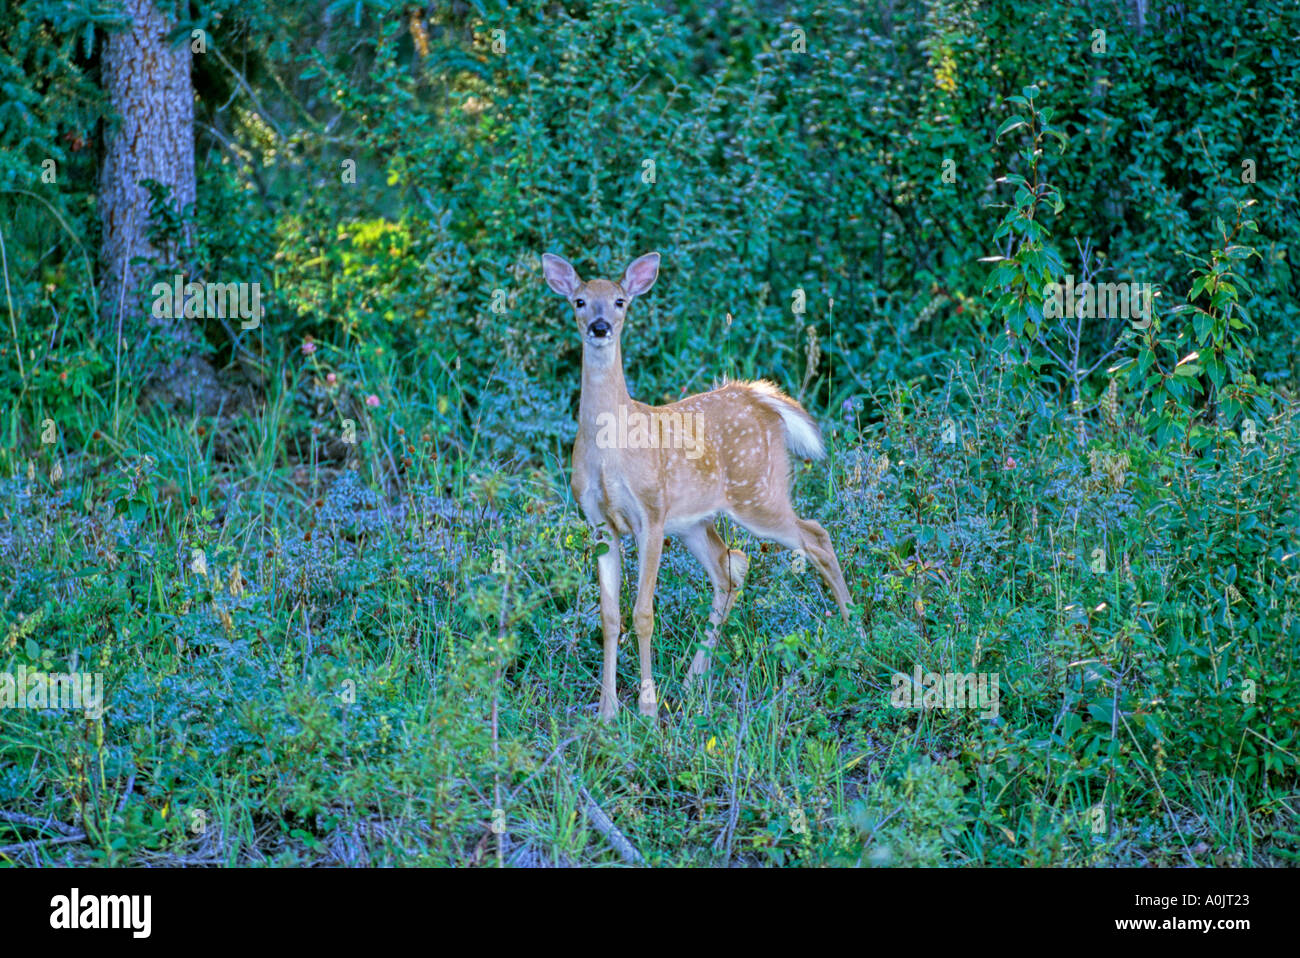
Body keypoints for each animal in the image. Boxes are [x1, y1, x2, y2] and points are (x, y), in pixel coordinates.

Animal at [543, 251, 852, 721]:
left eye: (619, 301)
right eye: (579, 301)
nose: (599, 327)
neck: (609, 449)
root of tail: (761, 398)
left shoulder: (651, 513)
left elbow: (643, 613)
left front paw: (648, 709)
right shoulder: (599, 523)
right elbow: (610, 617)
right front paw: (608, 711)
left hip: (757, 491)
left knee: (816, 534)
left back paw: (855, 631)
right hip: (696, 522)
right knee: (732, 567)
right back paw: (693, 680)